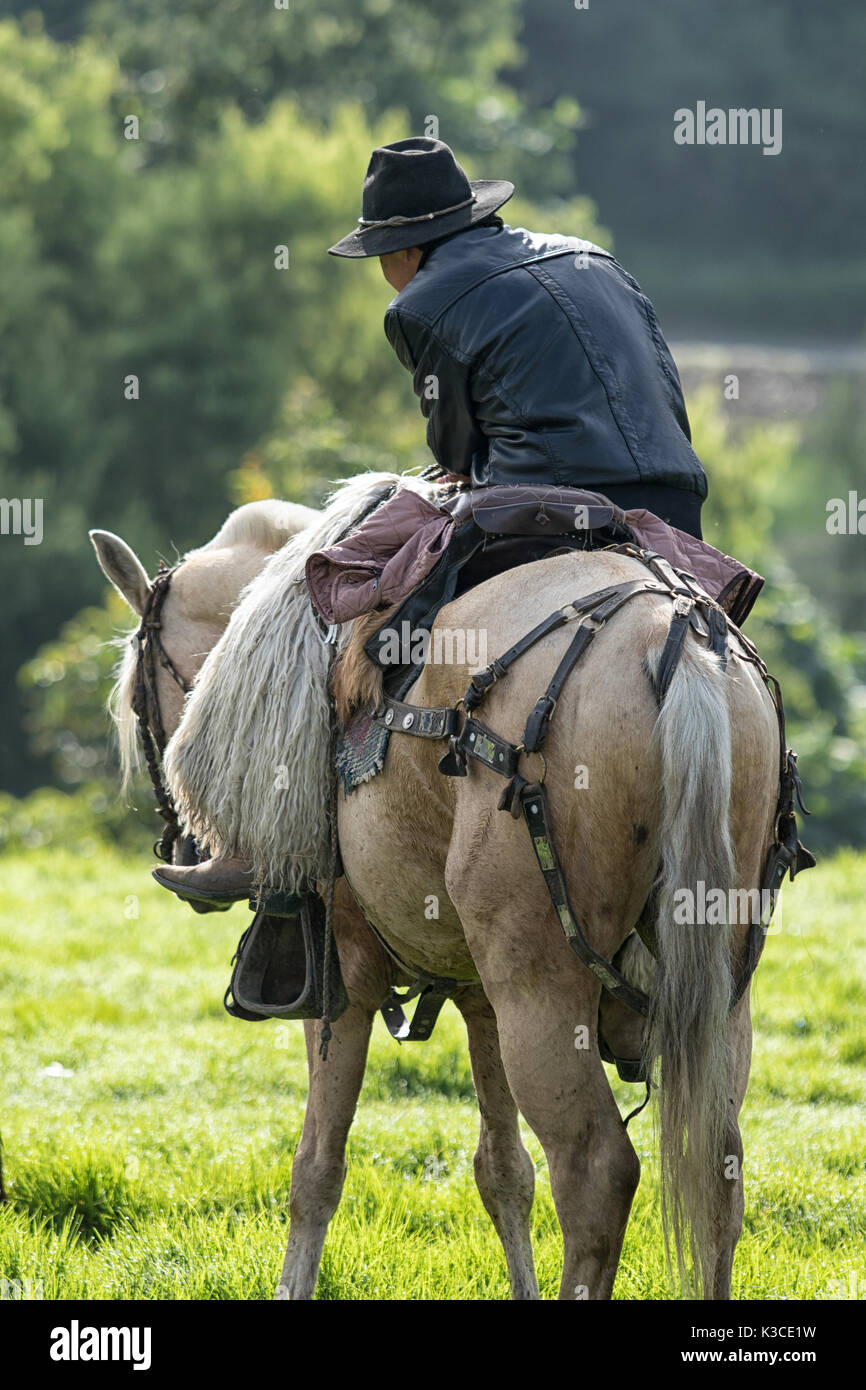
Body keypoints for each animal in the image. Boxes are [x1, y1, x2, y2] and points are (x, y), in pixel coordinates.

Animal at [93, 475, 782, 1300]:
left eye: (142, 694)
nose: (183, 846)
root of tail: (672, 639)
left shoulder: (346, 984)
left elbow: (315, 1169)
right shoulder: (482, 999)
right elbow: (502, 1172)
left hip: (540, 995)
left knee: (595, 1172)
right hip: (715, 997)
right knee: (716, 1170)